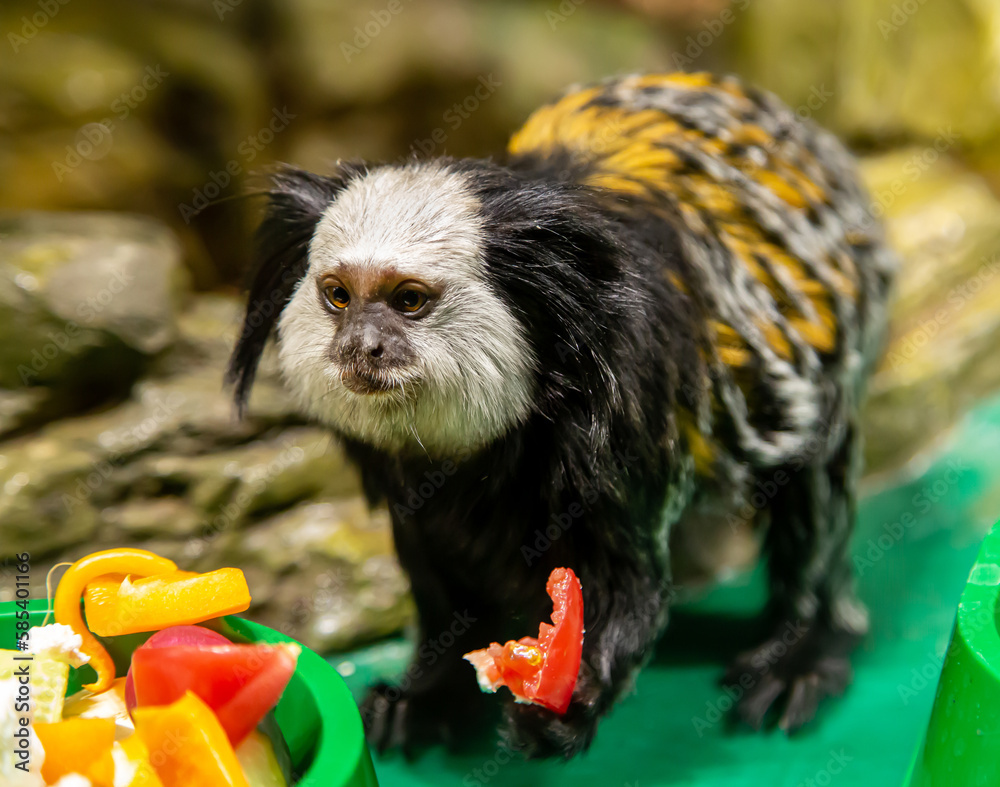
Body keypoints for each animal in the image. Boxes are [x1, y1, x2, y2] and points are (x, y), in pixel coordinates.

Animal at [228, 72, 896, 759]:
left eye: (407, 300)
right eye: (338, 295)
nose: (361, 347)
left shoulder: (628, 416)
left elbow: (628, 583)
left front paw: (569, 699)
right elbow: (435, 566)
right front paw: (429, 692)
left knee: (813, 479)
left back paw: (808, 644)